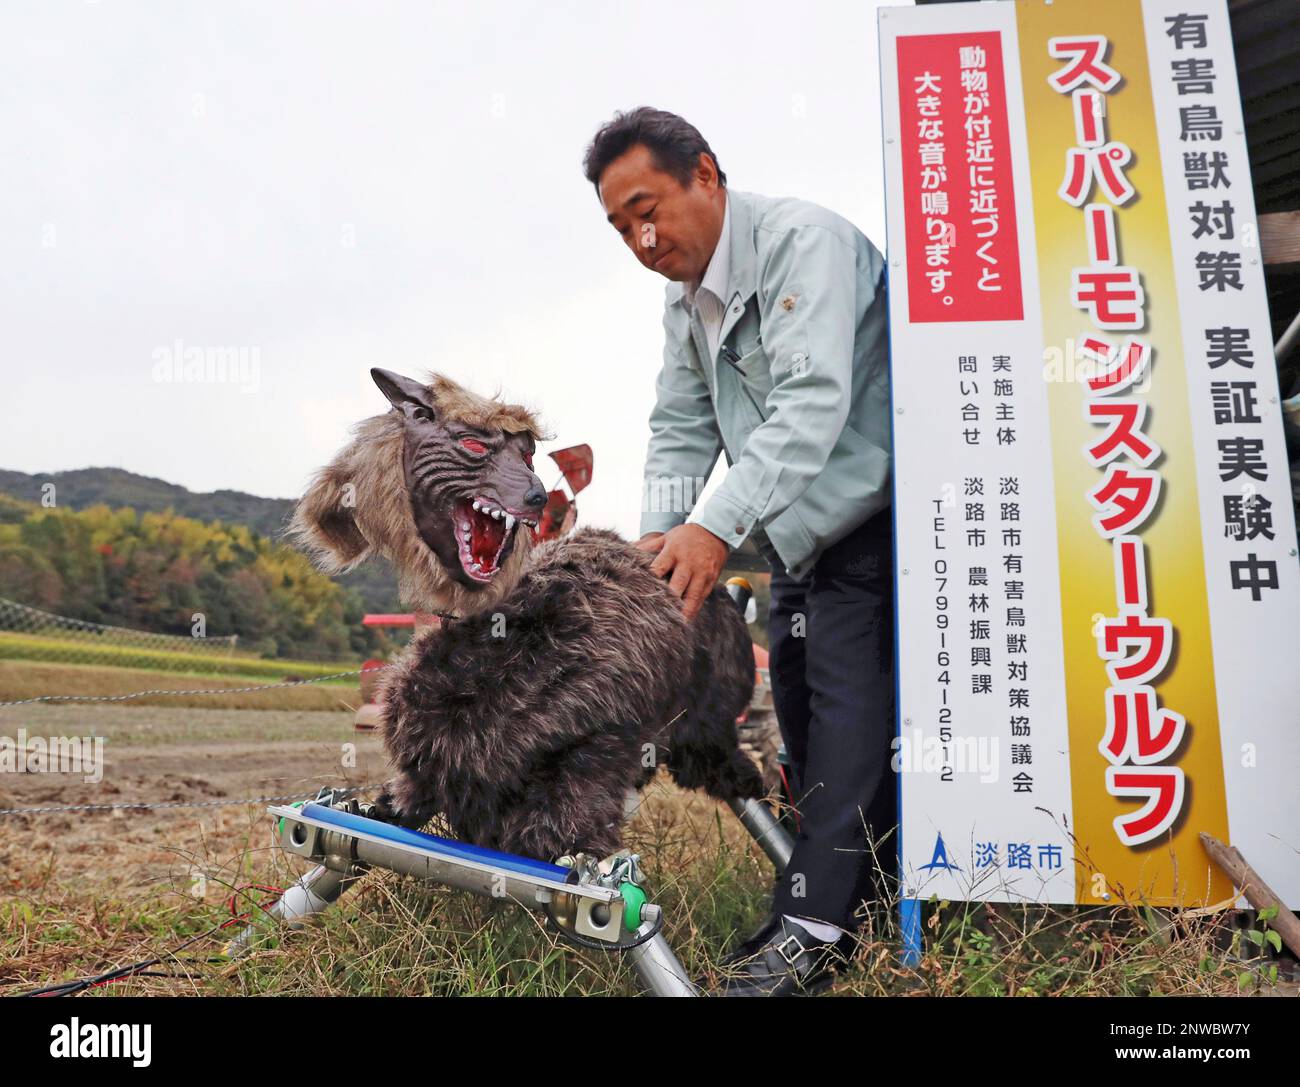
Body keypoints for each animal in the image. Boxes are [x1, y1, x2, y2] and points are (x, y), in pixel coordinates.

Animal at [291, 369, 764, 861]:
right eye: (472, 444)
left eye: (529, 450)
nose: (535, 496)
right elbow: (406, 797)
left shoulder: (600, 747)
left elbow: (556, 837)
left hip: (705, 724)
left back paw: (748, 778)